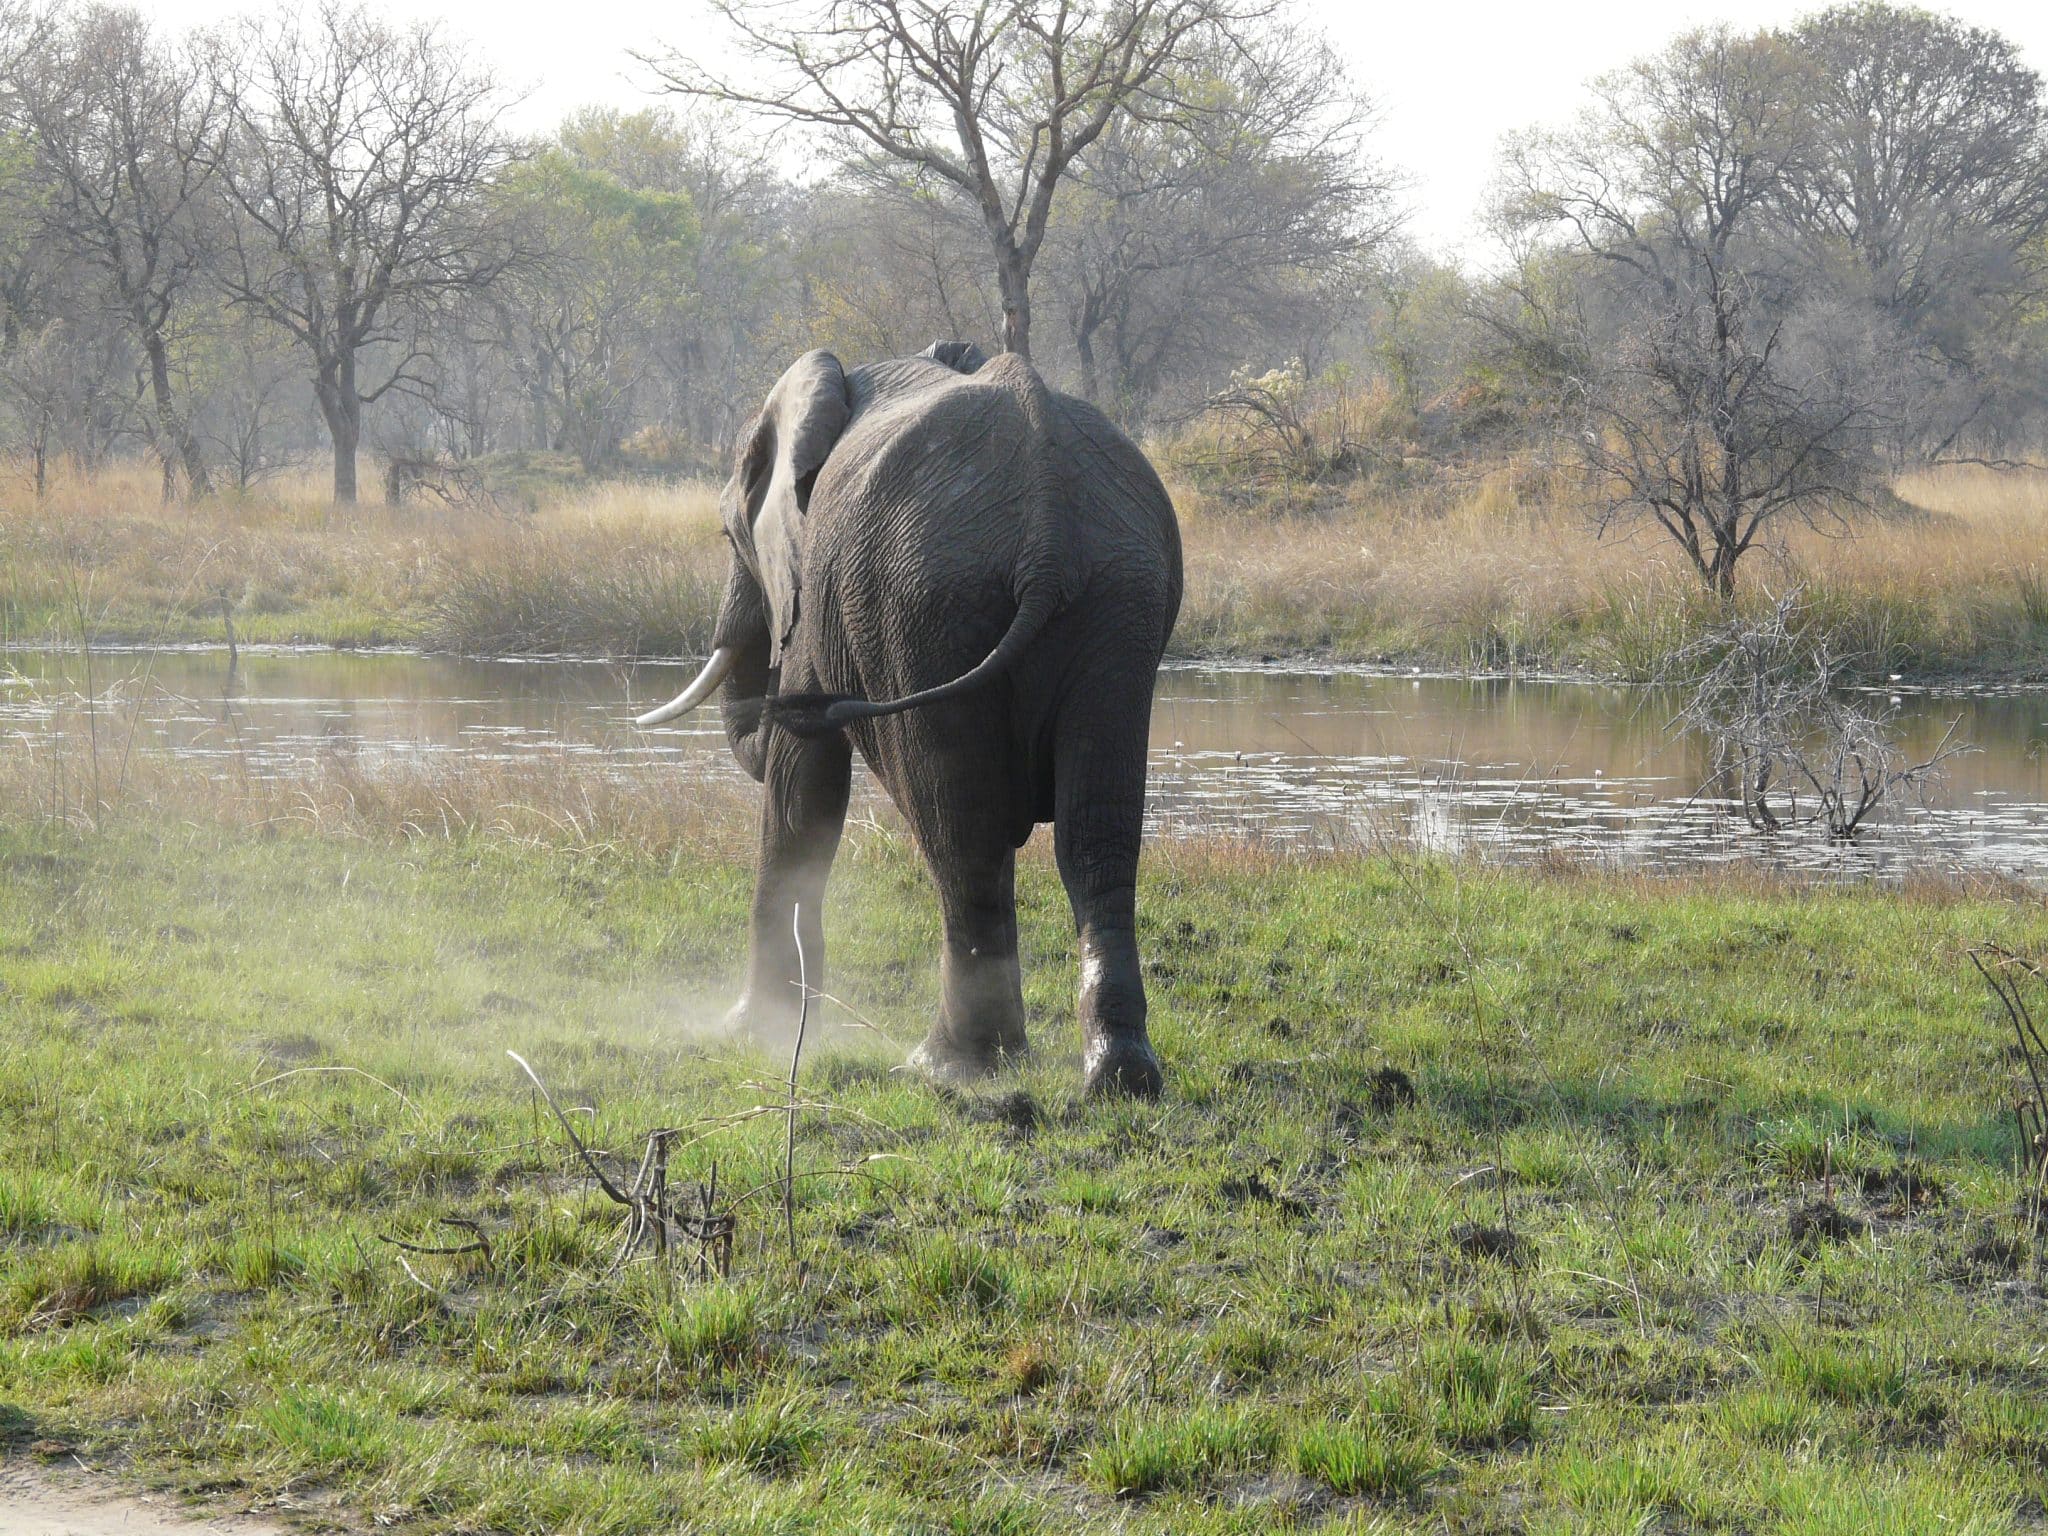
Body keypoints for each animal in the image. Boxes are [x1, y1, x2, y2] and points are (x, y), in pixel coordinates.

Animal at [633, 341, 1183, 1097]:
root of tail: (1046, 525)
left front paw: (750, 1033)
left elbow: (803, 784)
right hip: (1119, 602)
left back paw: (946, 1066)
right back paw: (1119, 1079)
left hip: (923, 604)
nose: (769, 699)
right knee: (1096, 835)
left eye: (726, 532)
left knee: (960, 828)